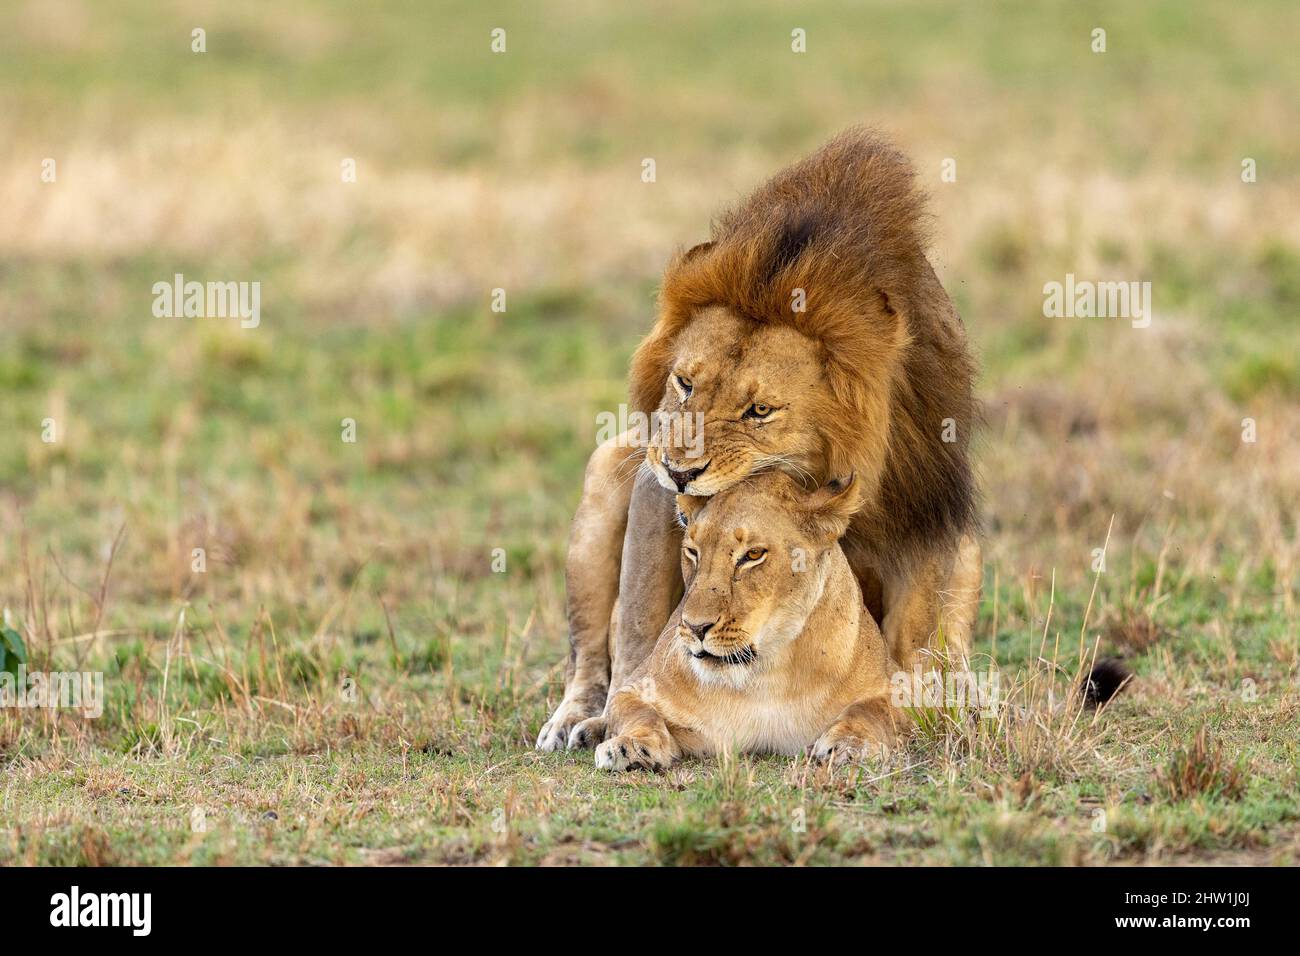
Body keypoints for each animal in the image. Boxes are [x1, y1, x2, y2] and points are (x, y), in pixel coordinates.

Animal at [586, 472, 903, 770]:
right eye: (692, 552)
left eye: (753, 554)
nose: (695, 627)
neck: (764, 677)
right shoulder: (637, 685)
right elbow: (637, 712)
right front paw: (630, 746)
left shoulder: (904, 685)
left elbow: (871, 711)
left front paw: (852, 744)